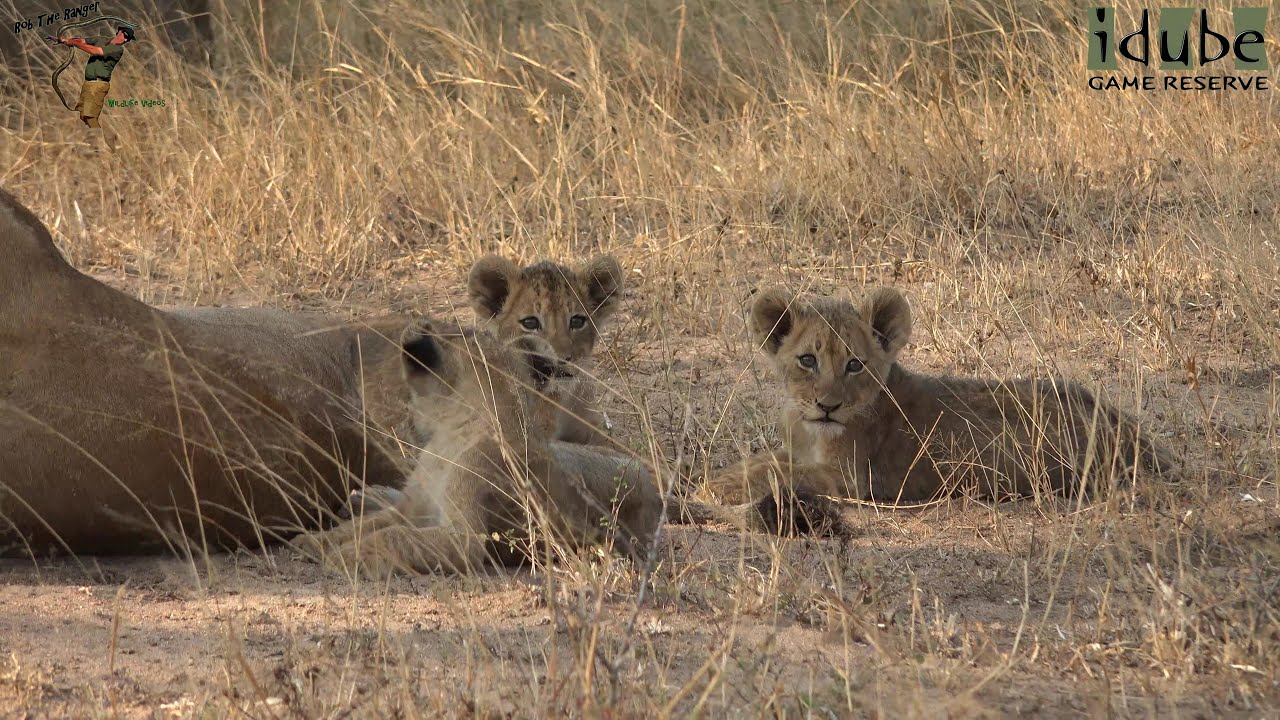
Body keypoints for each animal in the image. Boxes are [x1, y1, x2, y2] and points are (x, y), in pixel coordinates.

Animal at [705, 287, 1179, 505]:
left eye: (855, 365)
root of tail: (1143, 443)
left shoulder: (851, 481)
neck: (810, 430)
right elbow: (765, 461)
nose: (828, 406)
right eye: (807, 360)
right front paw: (716, 476)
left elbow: (779, 474)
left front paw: (717, 488)